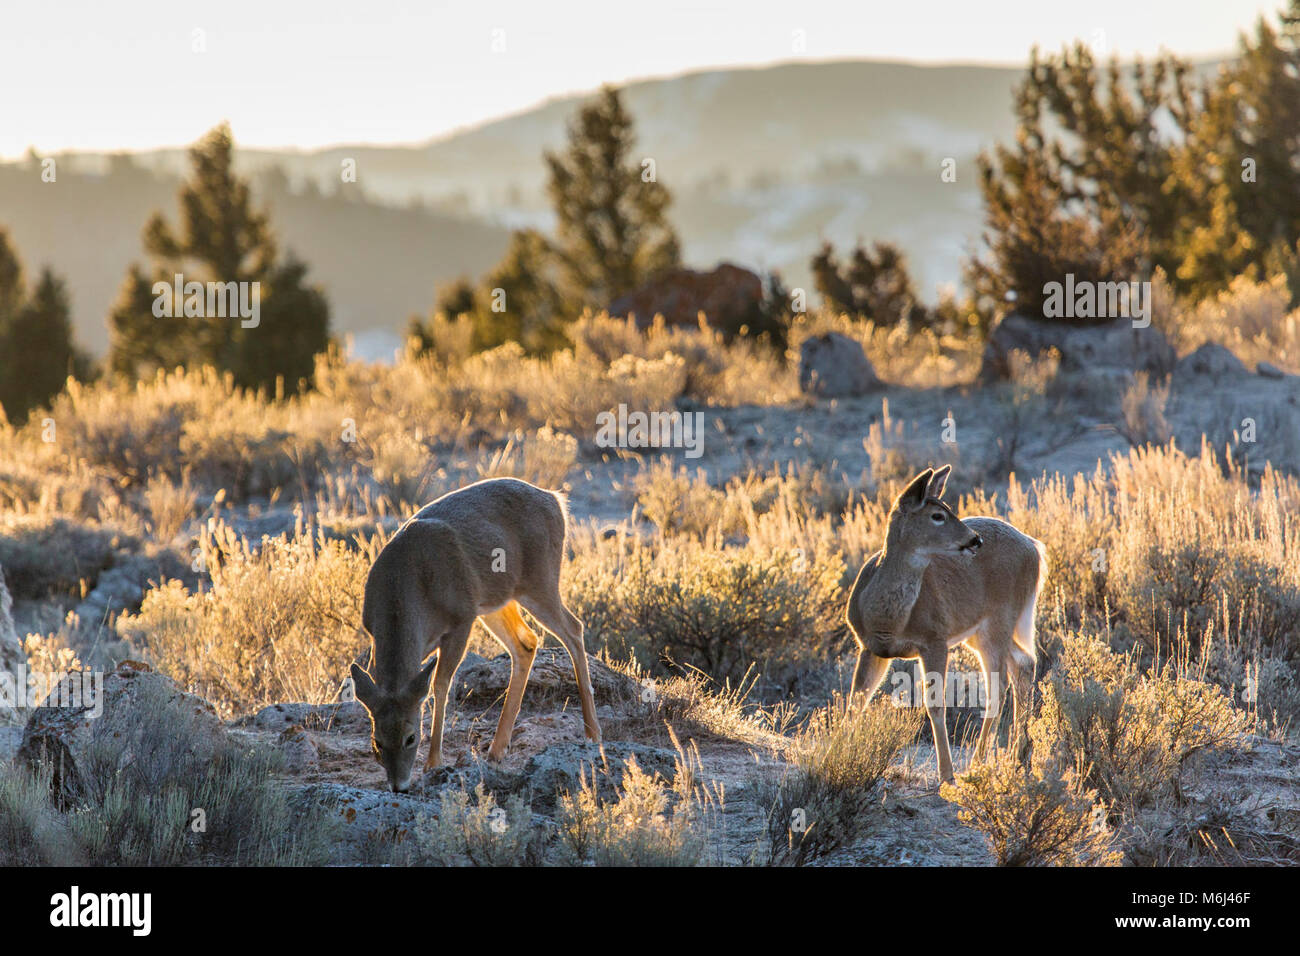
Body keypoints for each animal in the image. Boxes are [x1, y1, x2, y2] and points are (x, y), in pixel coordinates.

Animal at [349, 477, 600, 793]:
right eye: (377, 742)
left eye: (411, 737)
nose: (399, 786)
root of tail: (555, 500)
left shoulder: (461, 620)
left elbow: (440, 684)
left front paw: (433, 762)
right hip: (497, 600)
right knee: (526, 643)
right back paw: (497, 748)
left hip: (539, 581)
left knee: (573, 629)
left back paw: (593, 732)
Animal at [845, 465, 1047, 785]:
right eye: (938, 515)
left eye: (949, 509)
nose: (975, 540)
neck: (888, 618)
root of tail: (1035, 548)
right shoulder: (870, 646)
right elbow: (857, 700)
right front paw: (834, 749)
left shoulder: (935, 640)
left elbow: (935, 704)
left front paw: (947, 775)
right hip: (980, 630)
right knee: (1024, 663)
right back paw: (1020, 756)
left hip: (1000, 618)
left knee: (999, 686)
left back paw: (978, 763)